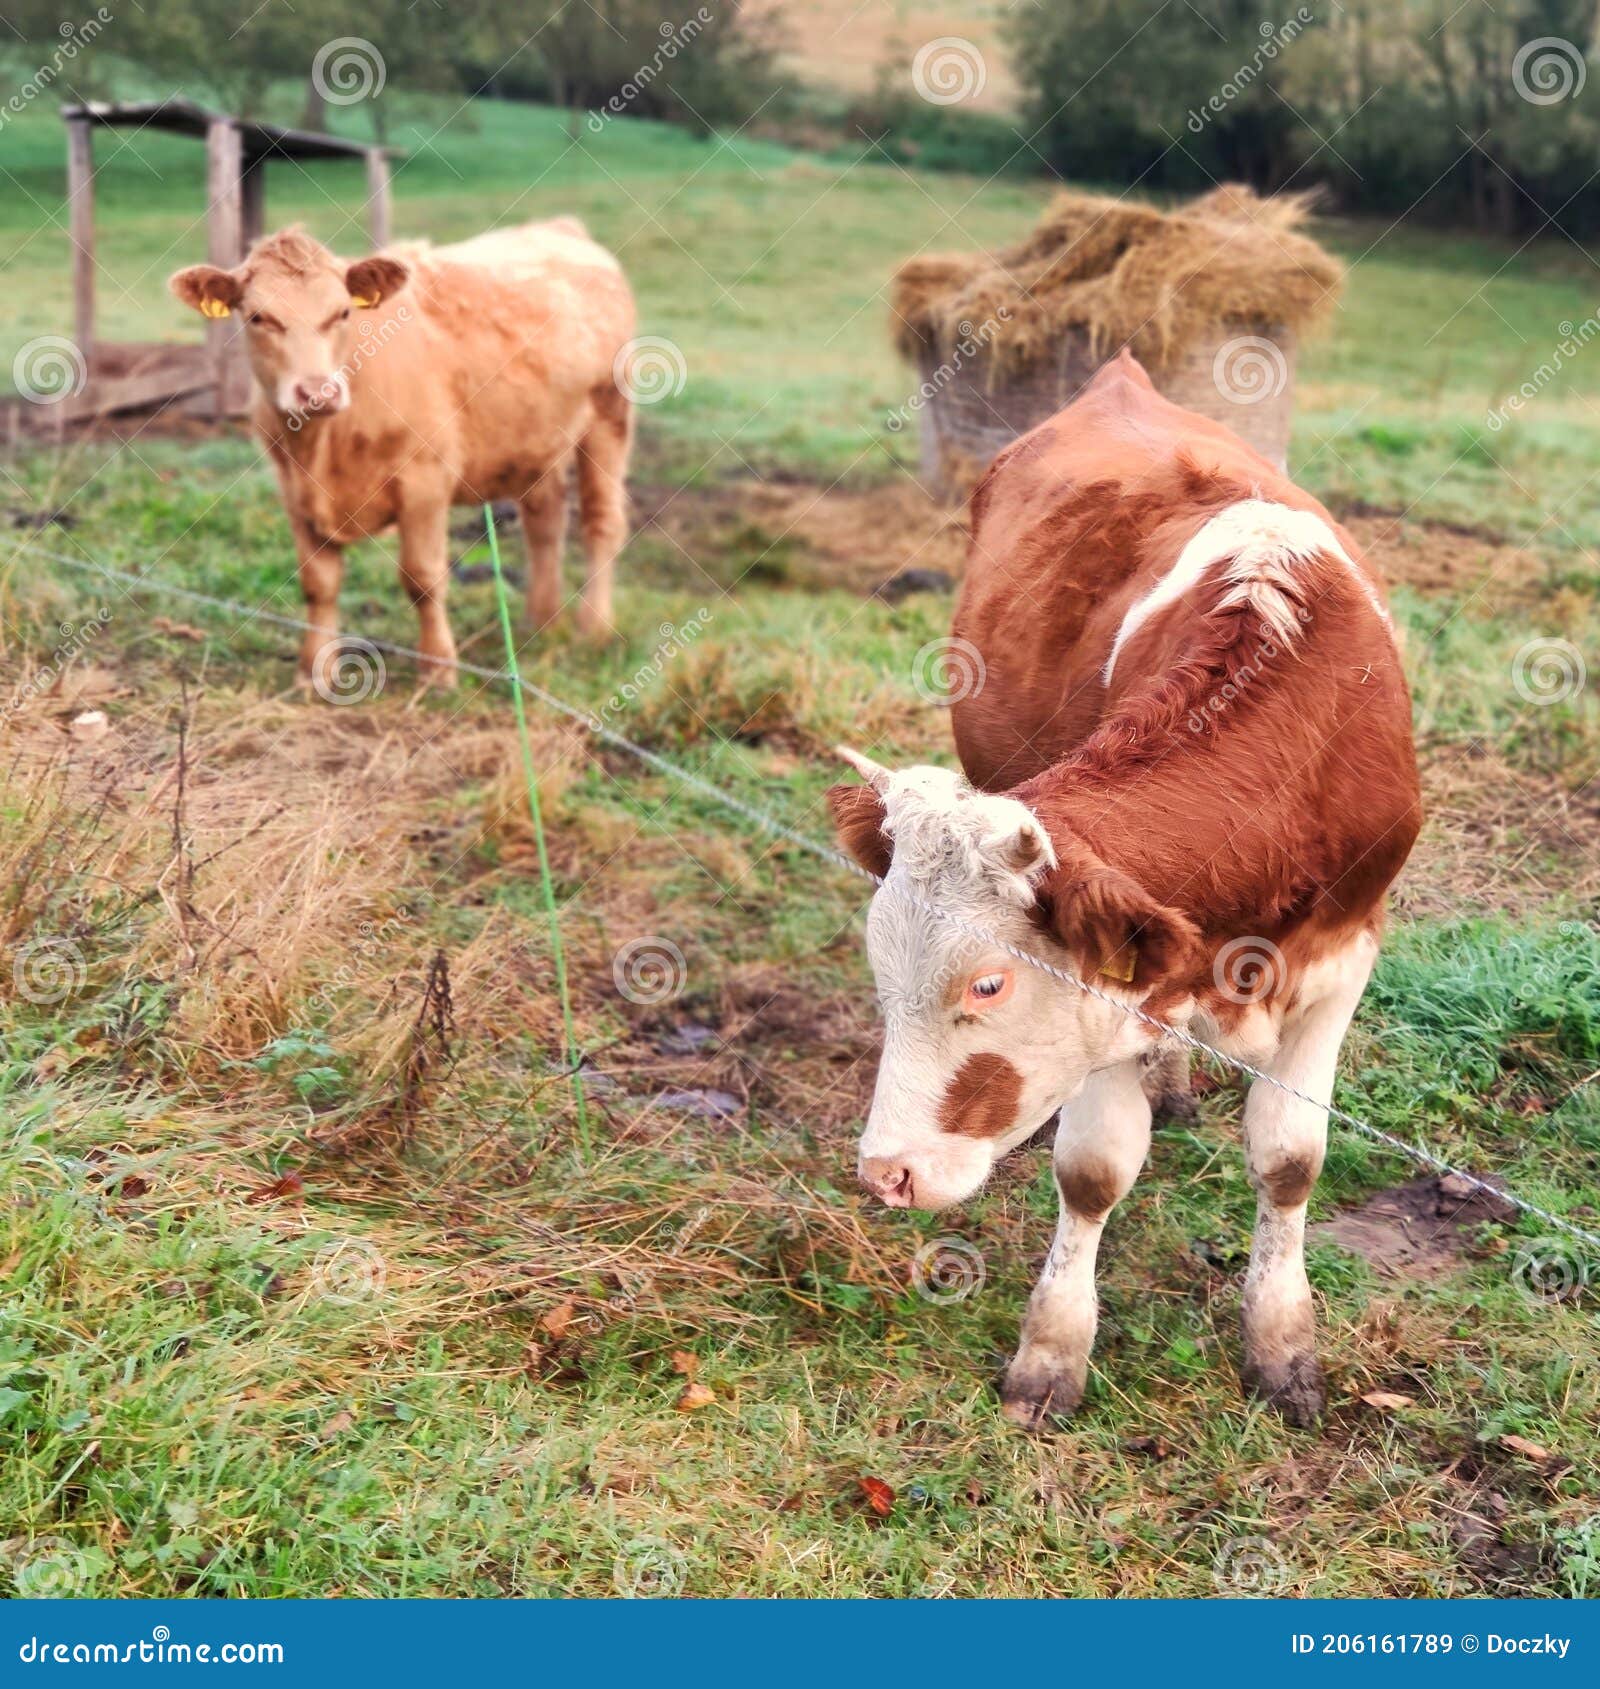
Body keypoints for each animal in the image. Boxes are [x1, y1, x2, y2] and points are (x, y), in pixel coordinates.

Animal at [169, 219, 636, 687]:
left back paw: (593, 628)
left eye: (343, 313)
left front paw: (438, 669)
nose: (317, 392)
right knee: (545, 523)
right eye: (258, 317)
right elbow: (318, 583)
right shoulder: (294, 489)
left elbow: (422, 577)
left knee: (601, 523)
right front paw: (315, 670)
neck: (325, 446)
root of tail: (558, 227)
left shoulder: (425, 481)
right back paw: (540, 622)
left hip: (609, 417)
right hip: (536, 440)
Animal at [828, 351, 1420, 1430]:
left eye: (989, 984)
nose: (886, 1173)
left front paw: (1283, 1344)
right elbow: (1095, 1170)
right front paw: (1051, 1354)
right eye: (879, 966)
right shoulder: (1115, 991)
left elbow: (1291, 1157)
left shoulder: (1347, 953)